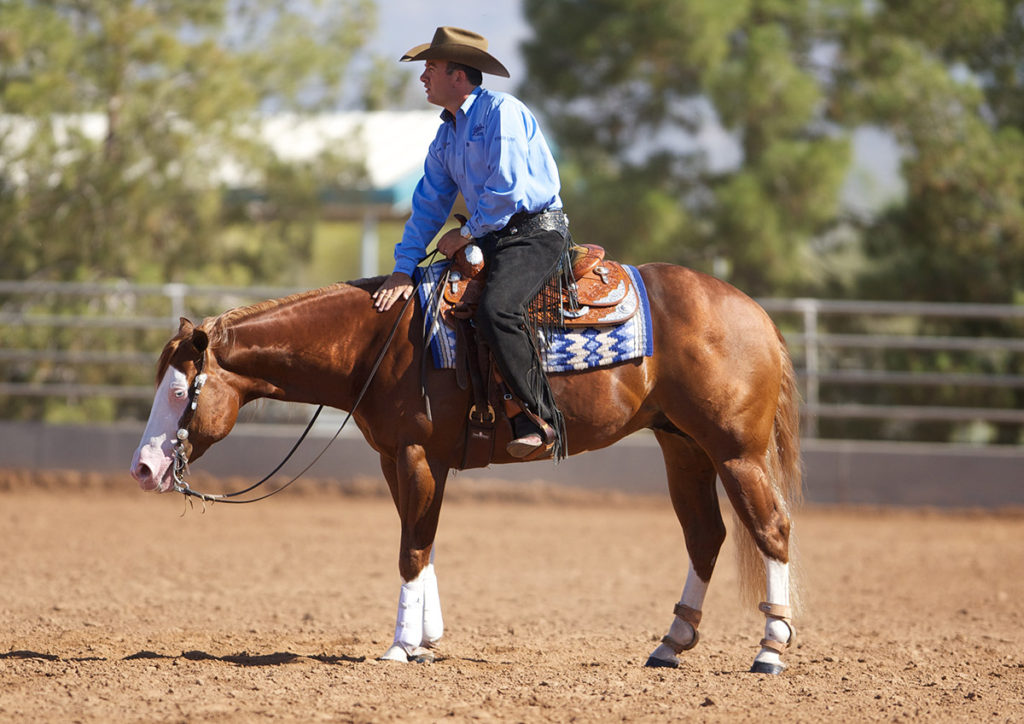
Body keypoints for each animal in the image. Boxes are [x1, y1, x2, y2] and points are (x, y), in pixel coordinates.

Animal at [130, 262, 802, 674]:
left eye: (178, 391)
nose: (142, 468)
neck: (378, 342)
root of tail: (758, 315)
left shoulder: (418, 455)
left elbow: (411, 549)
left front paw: (401, 647)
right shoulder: (397, 460)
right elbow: (421, 540)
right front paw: (427, 640)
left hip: (735, 452)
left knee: (771, 529)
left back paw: (770, 650)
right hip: (681, 445)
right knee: (705, 535)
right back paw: (671, 643)